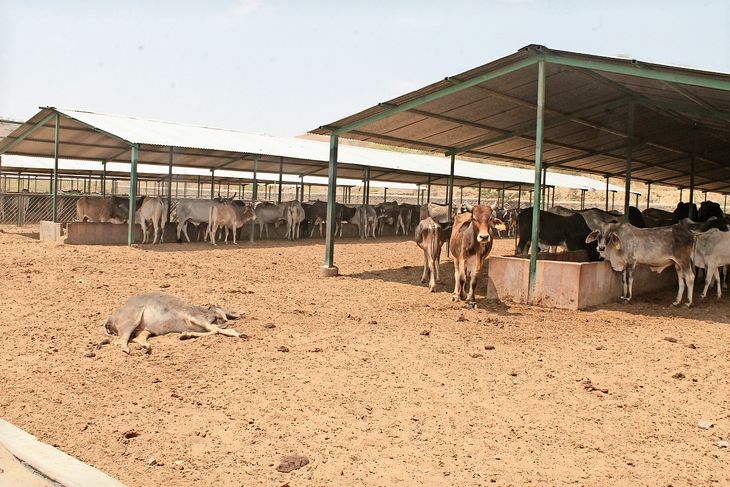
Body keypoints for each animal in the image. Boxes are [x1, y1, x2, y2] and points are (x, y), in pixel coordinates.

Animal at [102, 292, 242, 354]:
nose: (225, 320)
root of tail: (110, 319)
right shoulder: (195, 318)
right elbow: (215, 329)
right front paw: (238, 333)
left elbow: (213, 330)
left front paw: (185, 335)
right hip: (131, 322)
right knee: (120, 341)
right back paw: (126, 349)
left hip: (146, 330)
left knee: (137, 338)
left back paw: (146, 347)